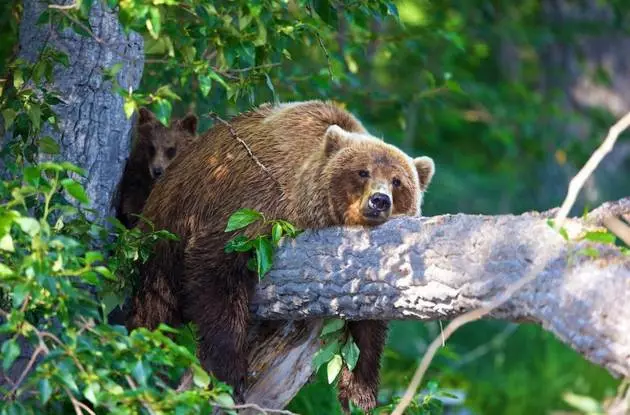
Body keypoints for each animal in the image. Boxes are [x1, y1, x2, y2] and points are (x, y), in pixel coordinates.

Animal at [126, 101, 436, 412]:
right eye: (363, 172)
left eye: (397, 181)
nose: (379, 200)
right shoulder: (252, 209)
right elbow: (216, 272)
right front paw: (229, 372)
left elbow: (367, 327)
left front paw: (361, 393)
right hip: (163, 237)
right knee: (154, 305)